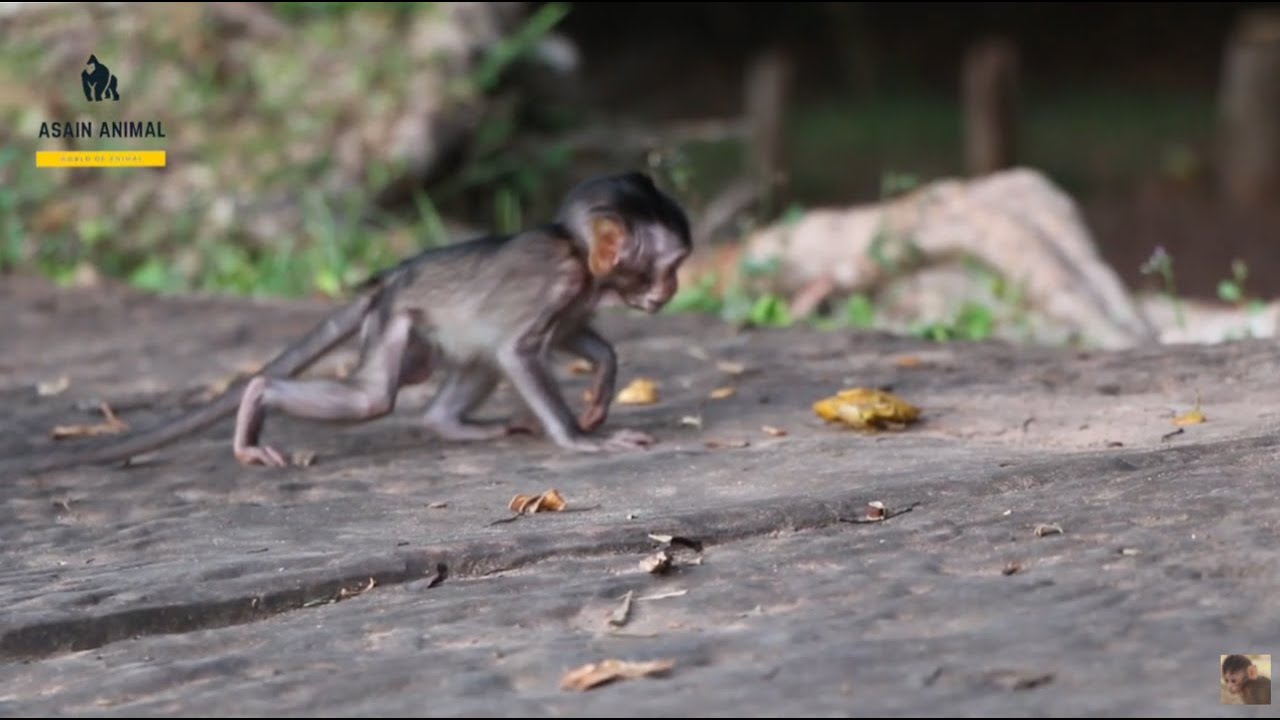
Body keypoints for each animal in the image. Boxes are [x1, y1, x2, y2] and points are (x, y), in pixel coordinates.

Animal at [2, 171, 691, 475]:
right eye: (671, 265)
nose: (674, 290)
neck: (576, 252)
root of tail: (389, 281)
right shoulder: (560, 280)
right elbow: (522, 351)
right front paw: (580, 437)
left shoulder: (579, 293)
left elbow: (572, 338)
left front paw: (603, 385)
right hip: (395, 324)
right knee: (374, 397)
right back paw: (257, 401)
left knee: (473, 358)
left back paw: (447, 424)